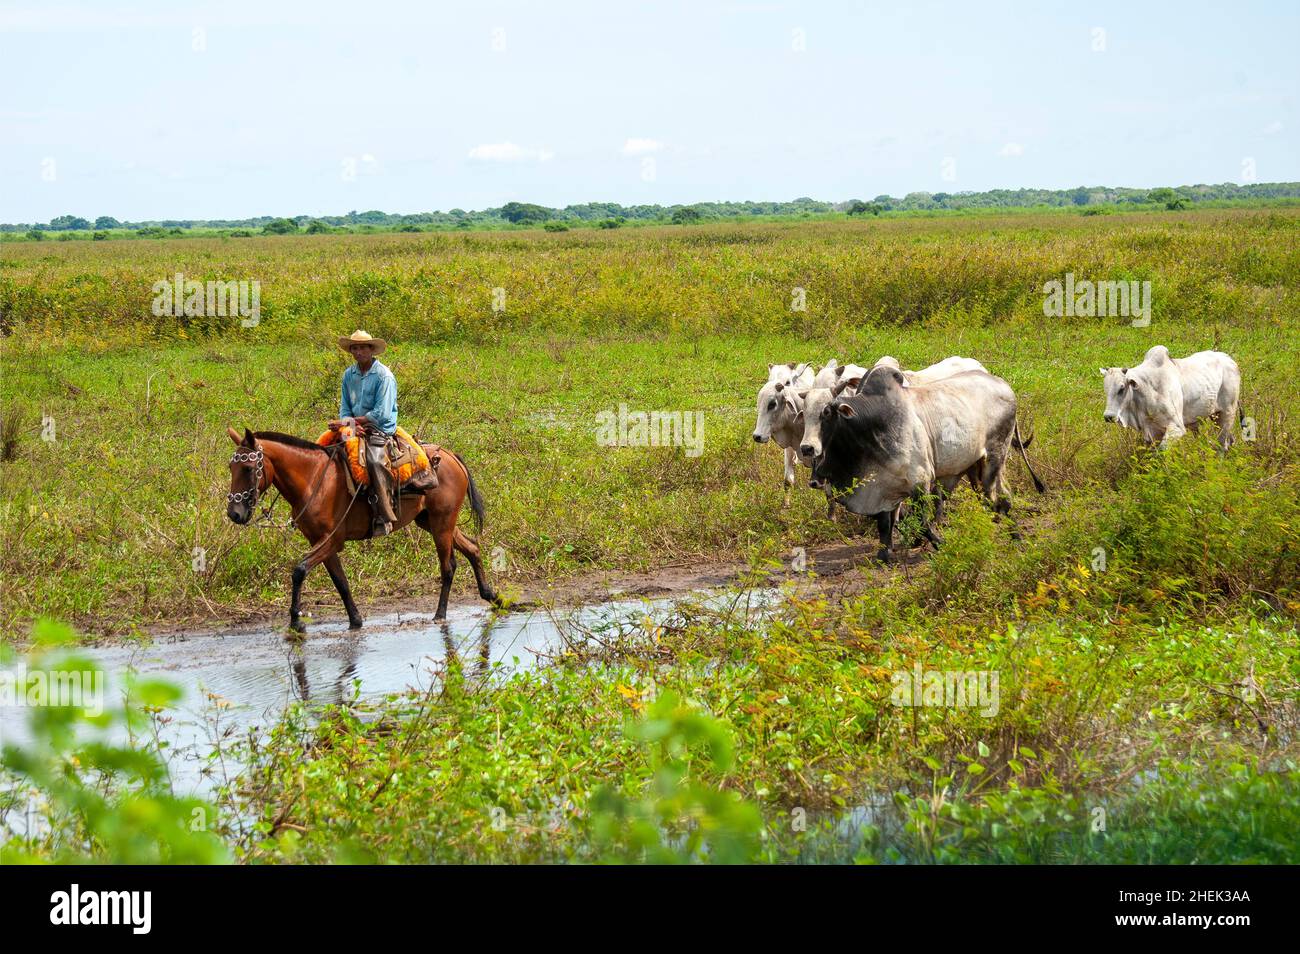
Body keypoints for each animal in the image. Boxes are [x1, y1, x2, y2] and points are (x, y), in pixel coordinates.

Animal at [809, 367, 1045, 562]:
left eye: (827, 415)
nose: (814, 478)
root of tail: (1003, 384)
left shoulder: (920, 480)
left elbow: (922, 522)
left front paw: (939, 543)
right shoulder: (885, 485)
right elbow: (885, 524)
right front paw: (884, 555)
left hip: (994, 459)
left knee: (1000, 498)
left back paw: (1014, 536)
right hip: (975, 467)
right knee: (997, 498)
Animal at [1101, 346, 1242, 450]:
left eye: (1122, 388)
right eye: (1106, 389)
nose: (1108, 417)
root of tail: (1229, 360)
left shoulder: (1176, 427)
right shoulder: (1152, 432)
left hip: (1228, 412)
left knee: (1222, 444)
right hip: (1216, 415)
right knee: (1230, 440)